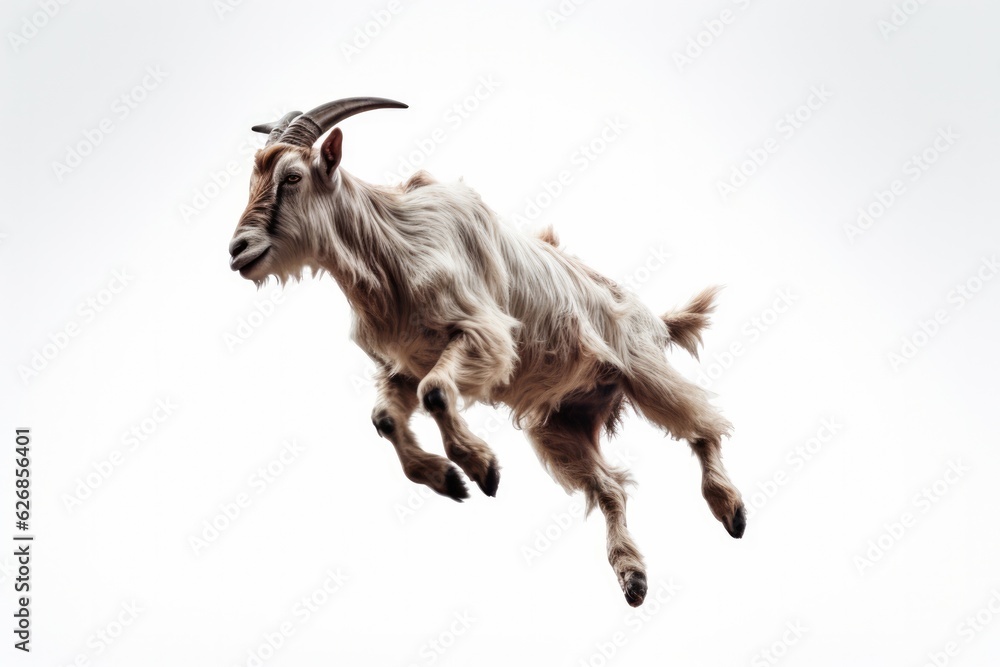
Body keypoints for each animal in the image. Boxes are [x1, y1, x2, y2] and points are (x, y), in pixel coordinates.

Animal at [228, 97, 746, 607]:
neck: (392, 247)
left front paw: (481, 468)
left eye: (292, 177)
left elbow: (437, 392)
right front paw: (445, 478)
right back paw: (633, 577)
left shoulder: (485, 335)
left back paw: (731, 510)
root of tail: (654, 318)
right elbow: (385, 418)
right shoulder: (401, 367)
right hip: (561, 423)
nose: (237, 249)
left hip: (642, 371)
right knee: (611, 488)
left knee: (703, 427)